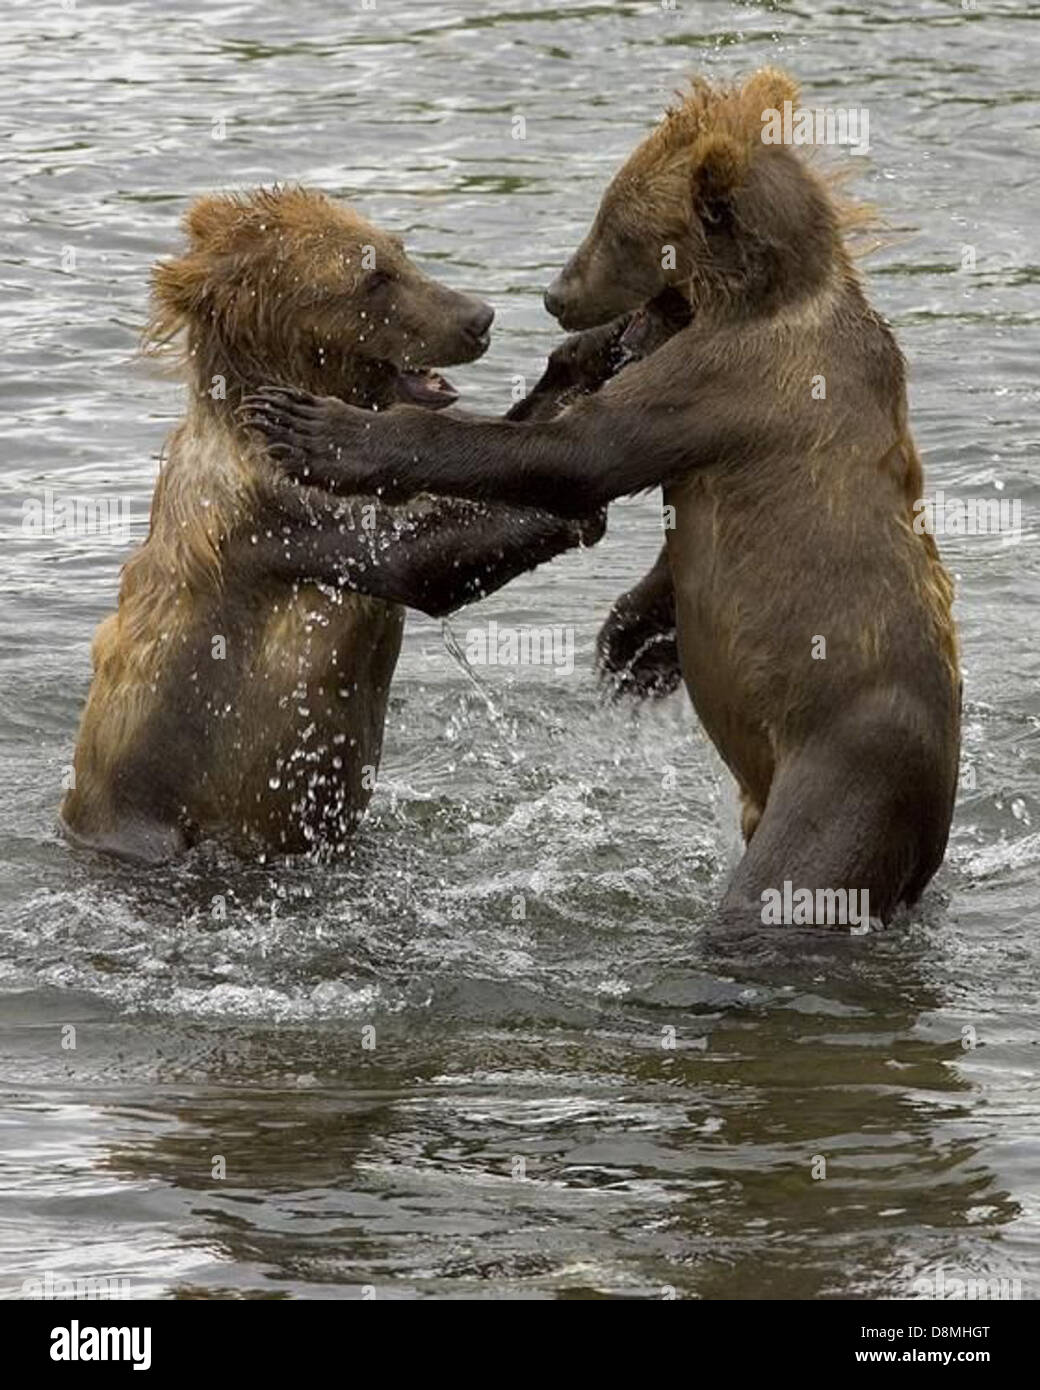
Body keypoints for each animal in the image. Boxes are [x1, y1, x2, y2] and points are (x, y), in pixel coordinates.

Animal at [60, 185, 606, 863]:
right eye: (373, 278)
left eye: (400, 250)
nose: (479, 317)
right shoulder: (272, 518)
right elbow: (416, 558)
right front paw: (576, 509)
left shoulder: (379, 475)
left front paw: (586, 370)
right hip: (153, 809)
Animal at [241, 69, 962, 928]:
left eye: (616, 231)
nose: (555, 295)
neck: (755, 299)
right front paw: (633, 646)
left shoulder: (731, 385)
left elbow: (578, 453)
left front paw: (317, 428)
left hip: (849, 770)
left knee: (786, 887)